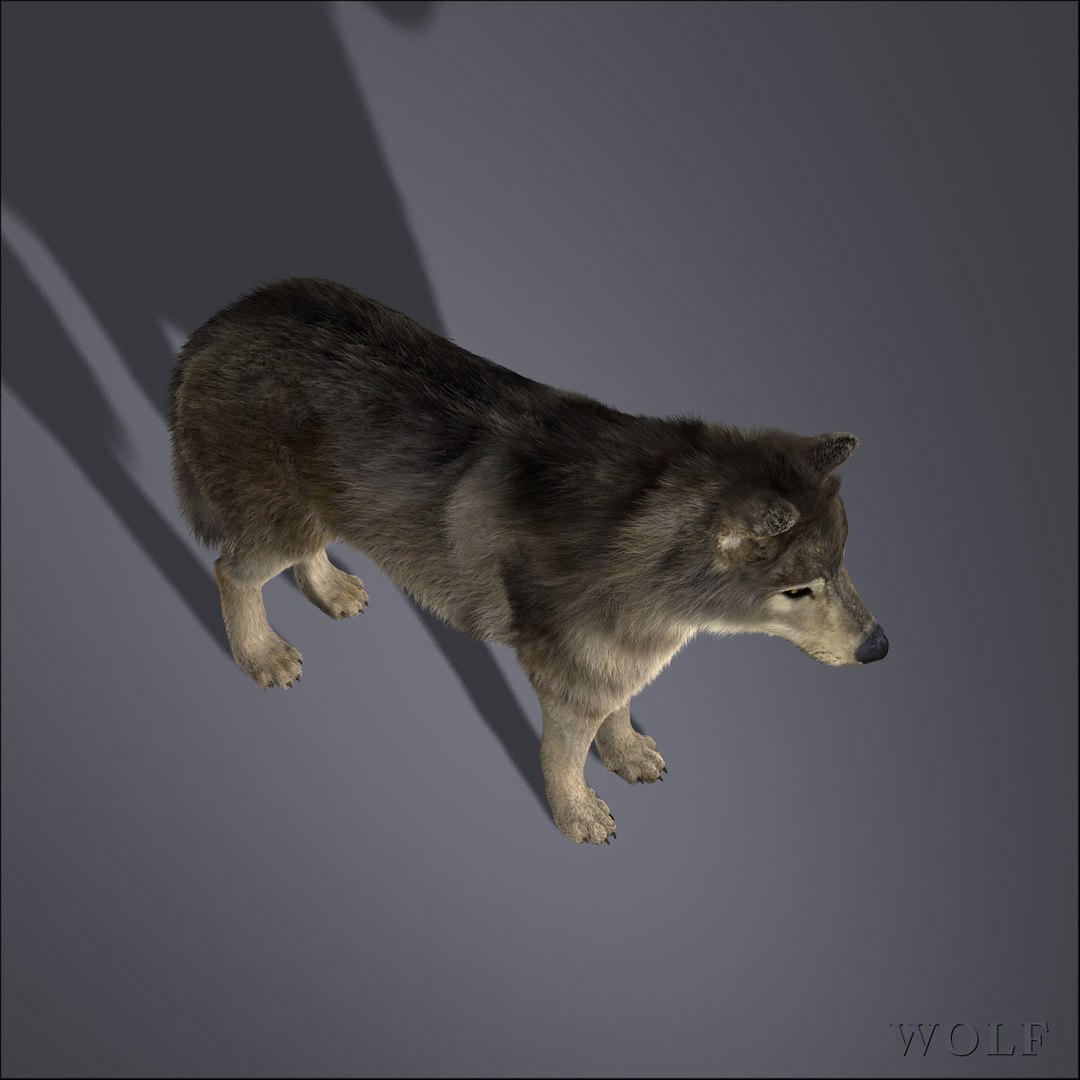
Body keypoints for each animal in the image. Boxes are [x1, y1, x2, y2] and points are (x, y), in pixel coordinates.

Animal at [169, 278, 888, 844]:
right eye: (799, 589)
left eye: (841, 564)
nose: (880, 648)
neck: (650, 546)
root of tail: (219, 323)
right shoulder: (573, 671)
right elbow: (564, 755)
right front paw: (578, 814)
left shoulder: (618, 656)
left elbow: (618, 713)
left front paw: (627, 753)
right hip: (280, 519)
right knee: (233, 571)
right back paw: (260, 653)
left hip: (315, 509)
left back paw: (332, 591)